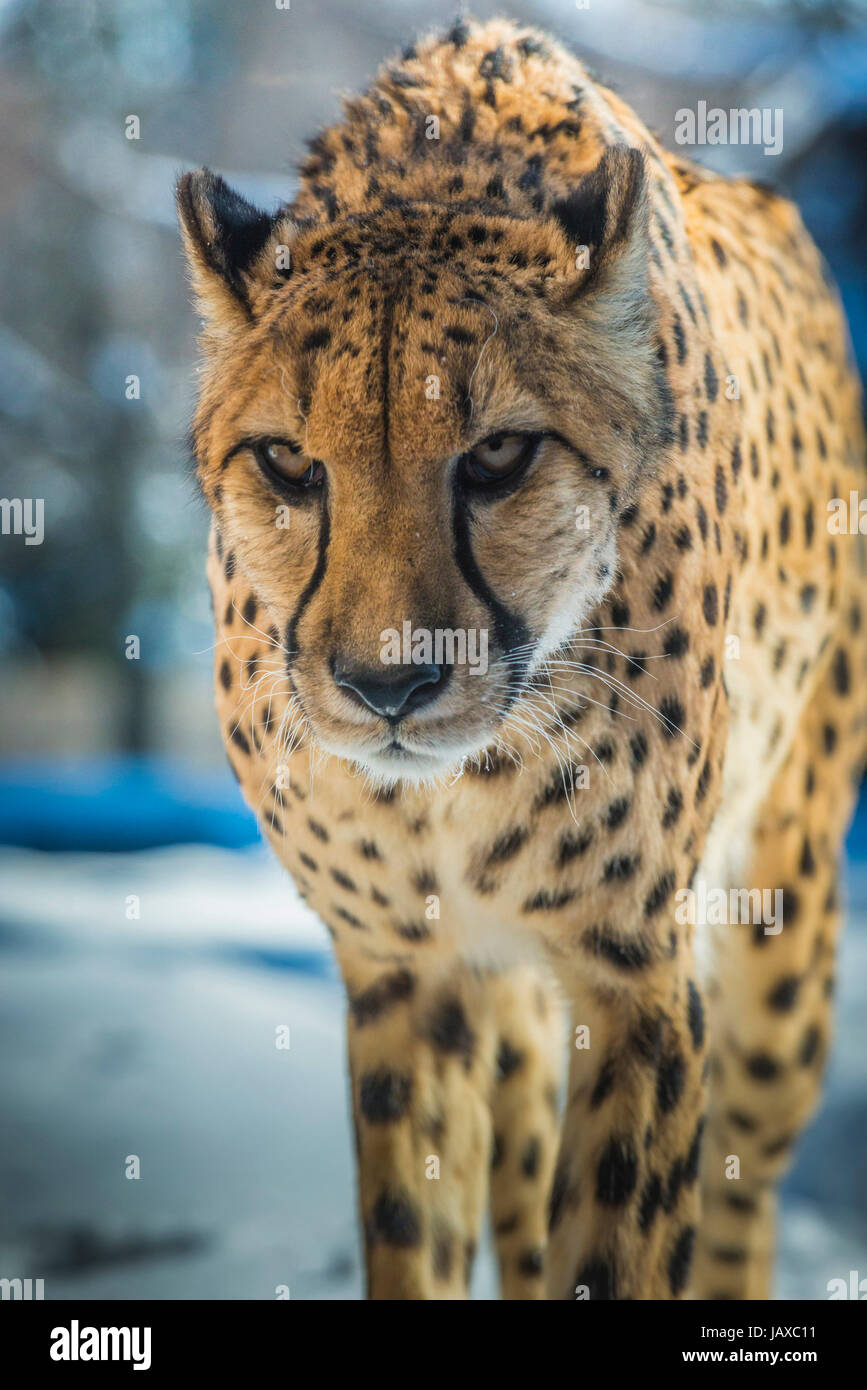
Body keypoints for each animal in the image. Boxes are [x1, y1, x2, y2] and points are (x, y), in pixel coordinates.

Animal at [177, 15, 867, 1300]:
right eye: (289, 461)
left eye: (500, 454)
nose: (389, 684)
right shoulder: (408, 970)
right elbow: (422, 1231)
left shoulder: (638, 976)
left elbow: (621, 1245)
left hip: (780, 939)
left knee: (742, 1193)